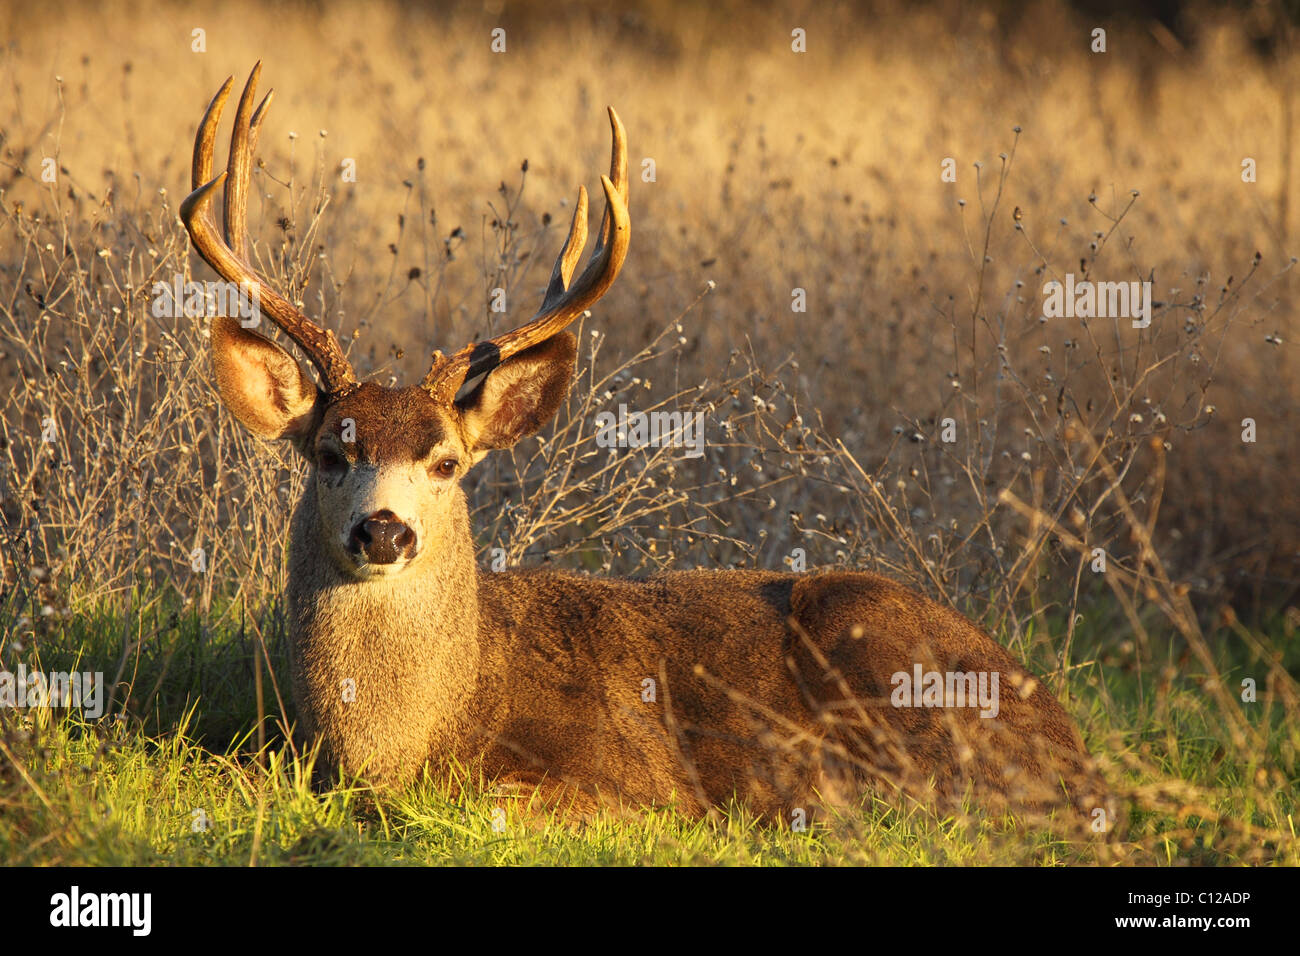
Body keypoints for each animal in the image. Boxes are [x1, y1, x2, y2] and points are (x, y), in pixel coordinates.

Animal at [180, 65, 1106, 824]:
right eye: (329, 454)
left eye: (446, 462)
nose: (383, 531)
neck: (422, 734)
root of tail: (1074, 745)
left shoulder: (635, 782)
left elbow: (502, 799)